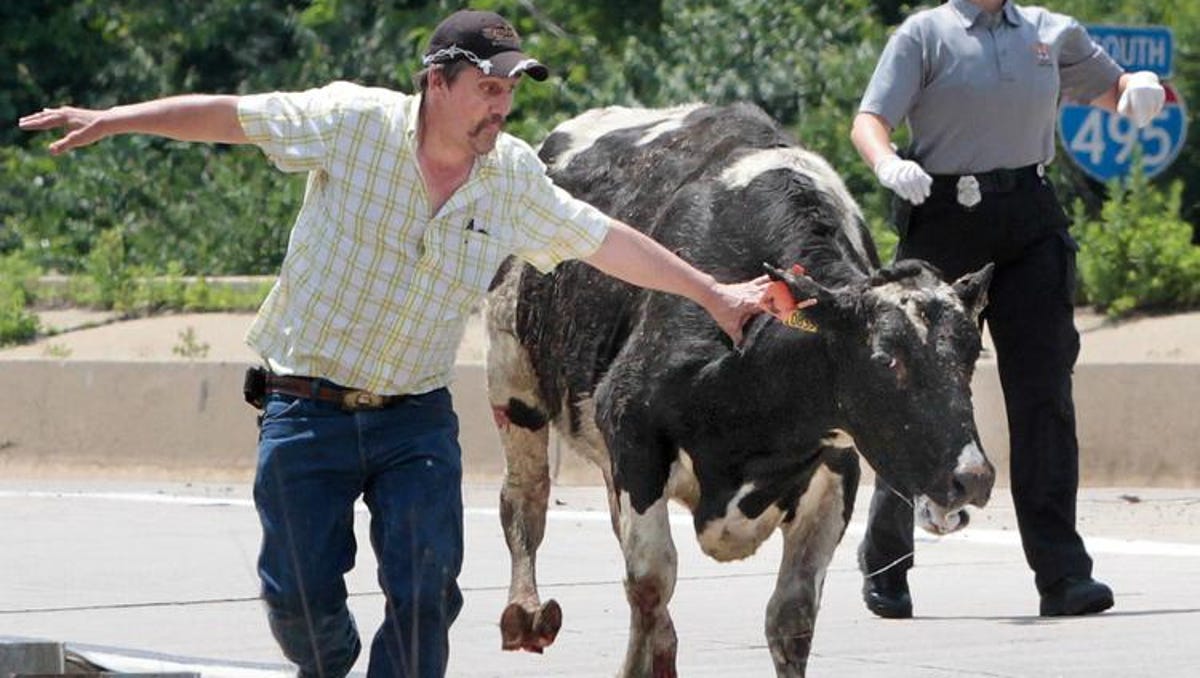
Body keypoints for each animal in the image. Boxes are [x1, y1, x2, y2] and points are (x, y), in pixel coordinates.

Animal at [484, 103, 996, 677]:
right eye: (887, 359)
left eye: (971, 353)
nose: (973, 477)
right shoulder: (633, 434)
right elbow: (652, 580)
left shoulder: (836, 468)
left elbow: (791, 616)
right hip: (512, 378)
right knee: (525, 498)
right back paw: (526, 613)